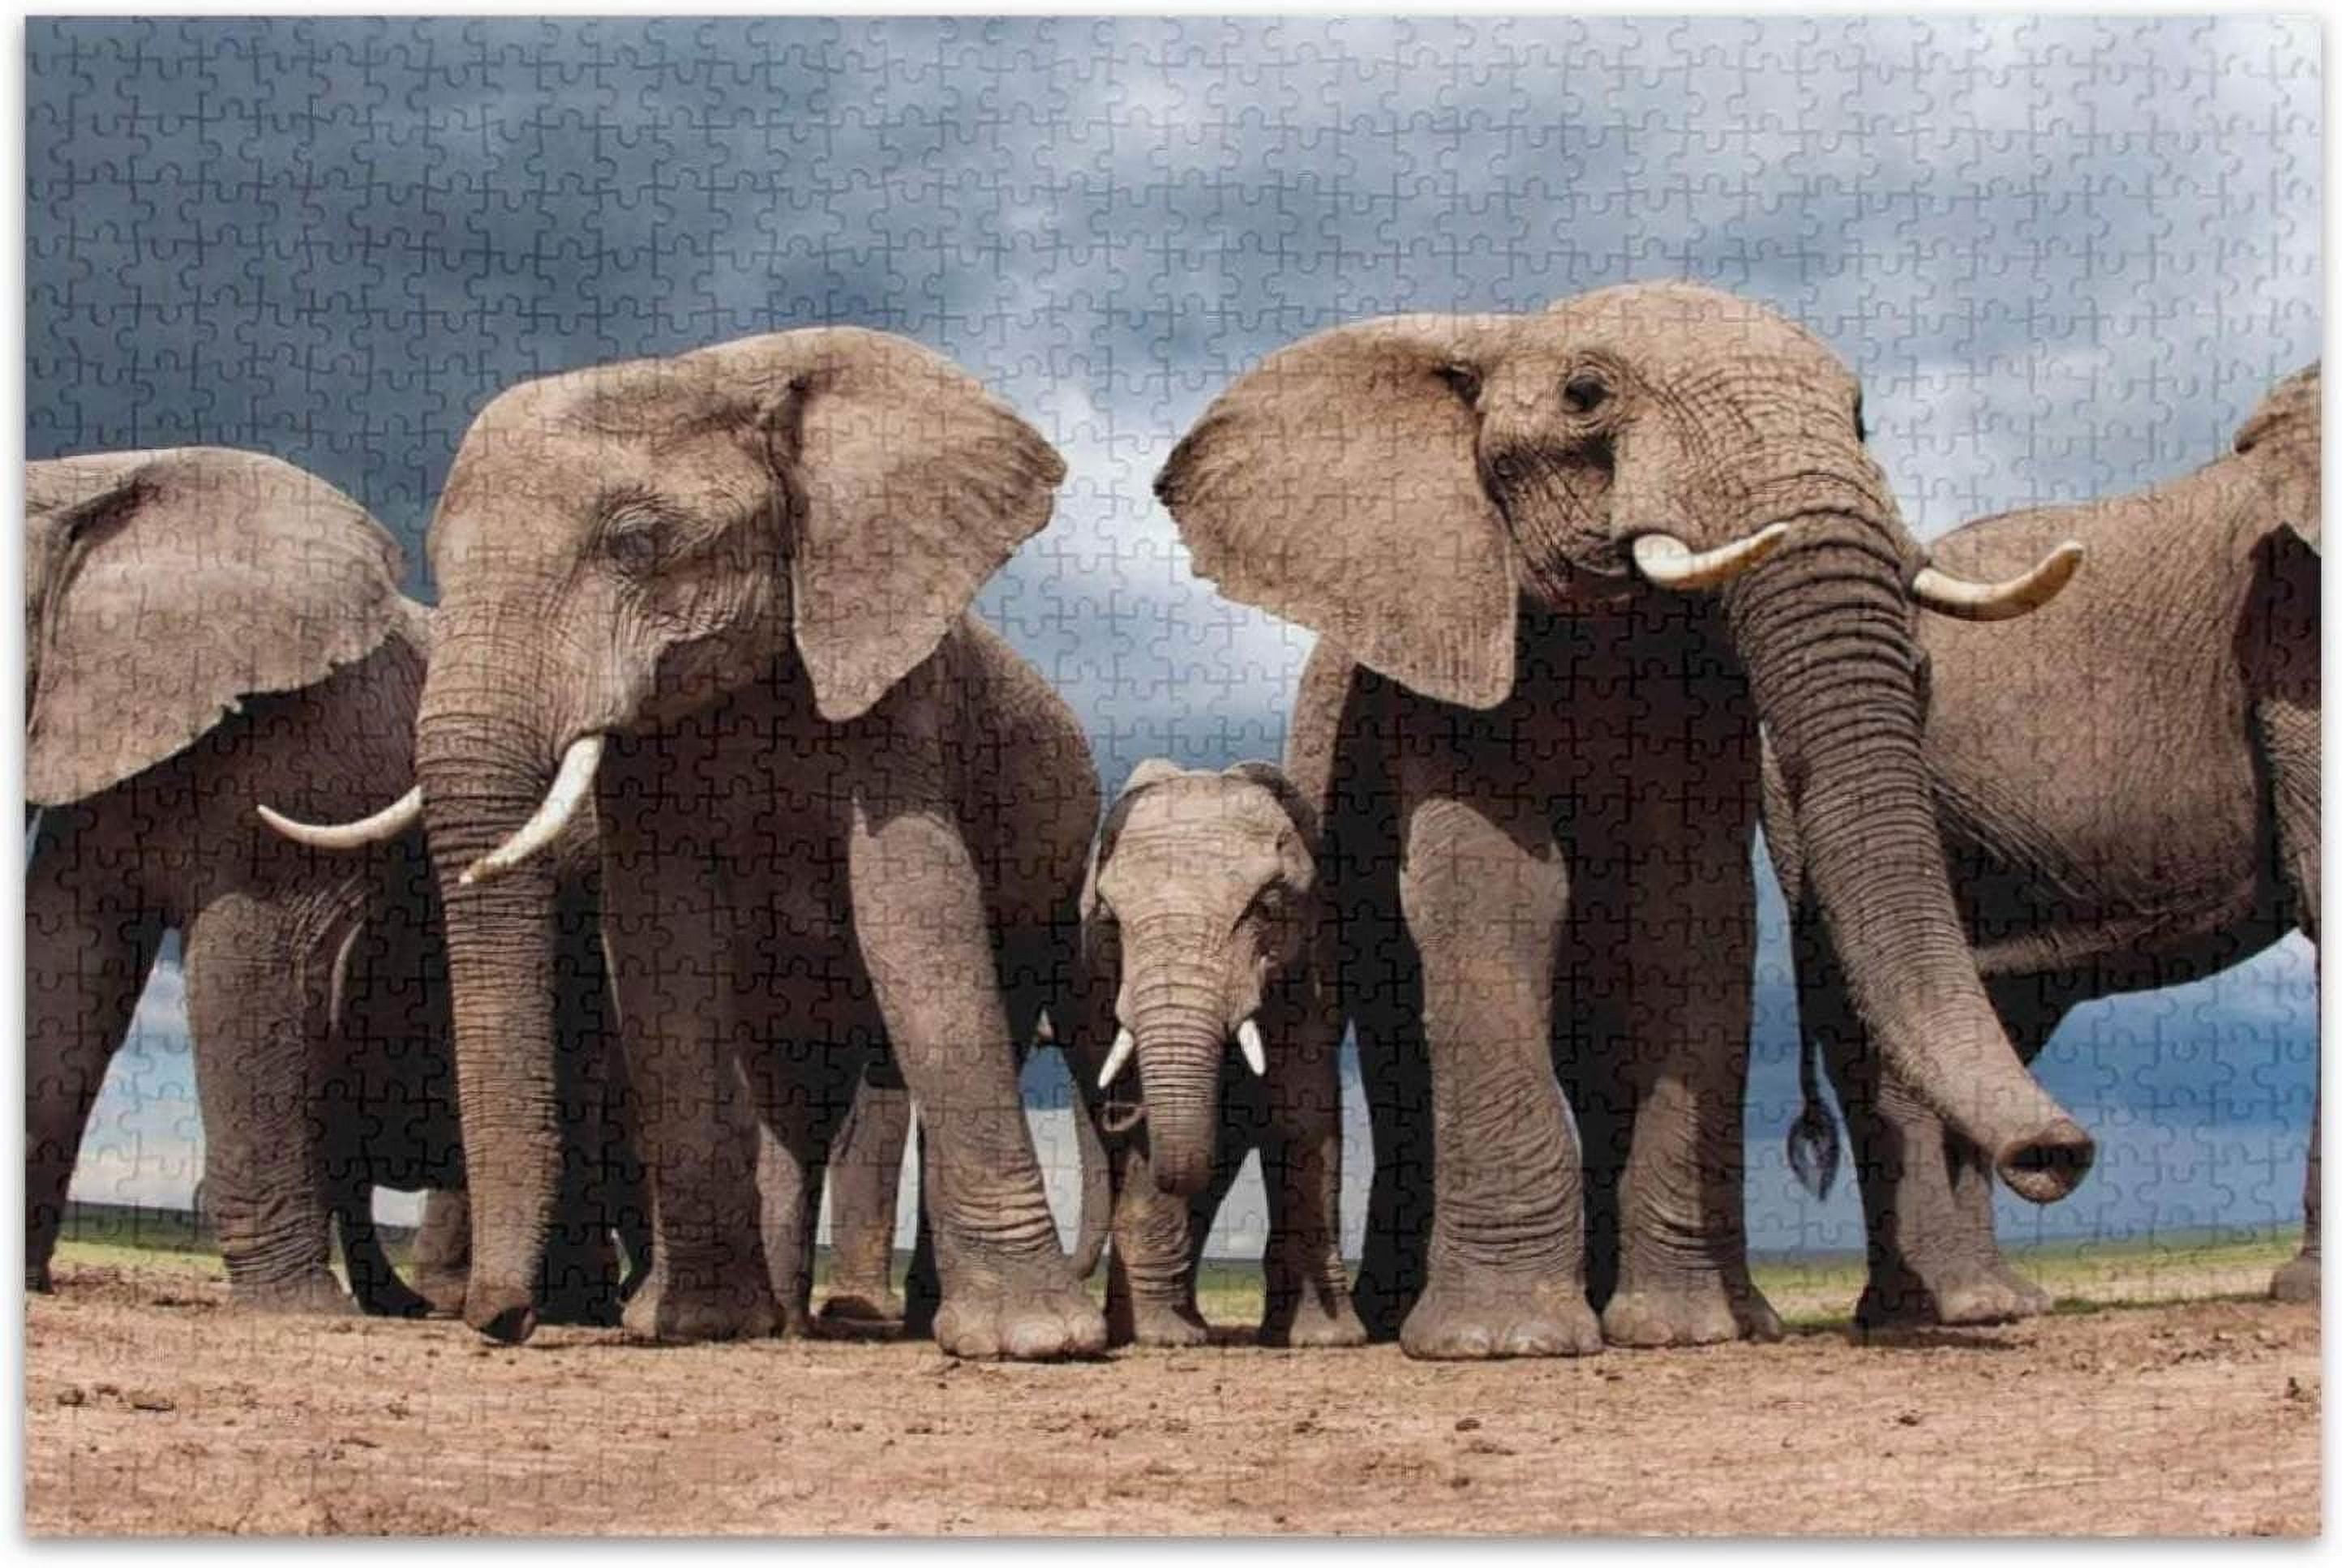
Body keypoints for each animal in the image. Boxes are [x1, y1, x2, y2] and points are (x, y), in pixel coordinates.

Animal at [280, 328, 1108, 1357]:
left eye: (634, 542)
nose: (502, 1318)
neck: (720, 371)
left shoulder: (894, 679)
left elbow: (914, 910)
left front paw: (1037, 1342)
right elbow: (657, 931)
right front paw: (694, 1323)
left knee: (994, 991)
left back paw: (902, 1320)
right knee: (791, 1083)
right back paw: (786, 1323)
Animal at [1067, 759, 1364, 1348]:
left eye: (1268, 909)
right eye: (1109, 920)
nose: (1116, 1113)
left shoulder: (1310, 968)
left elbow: (1304, 1114)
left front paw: (1328, 1339)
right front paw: (1165, 1339)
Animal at [1155, 280, 2095, 1359]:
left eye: (1859, 417)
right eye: (1584, 396)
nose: (2057, 1153)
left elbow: (1688, 919)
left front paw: (1690, 1331)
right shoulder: (1443, 669)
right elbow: (1496, 898)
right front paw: (1508, 1341)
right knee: (1391, 1033)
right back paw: (1395, 1316)